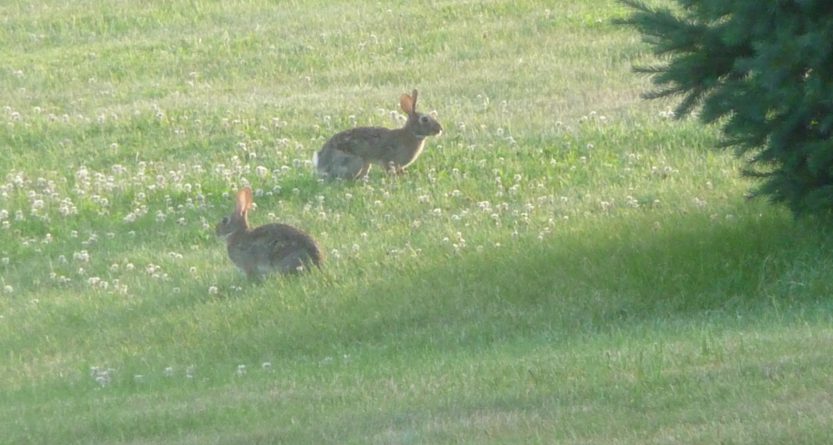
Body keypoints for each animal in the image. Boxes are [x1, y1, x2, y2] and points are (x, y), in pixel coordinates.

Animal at [314, 89, 443, 180]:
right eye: (424, 119)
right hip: (355, 161)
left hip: (365, 164)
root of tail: (321, 163)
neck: (411, 133)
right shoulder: (388, 159)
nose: (440, 129)